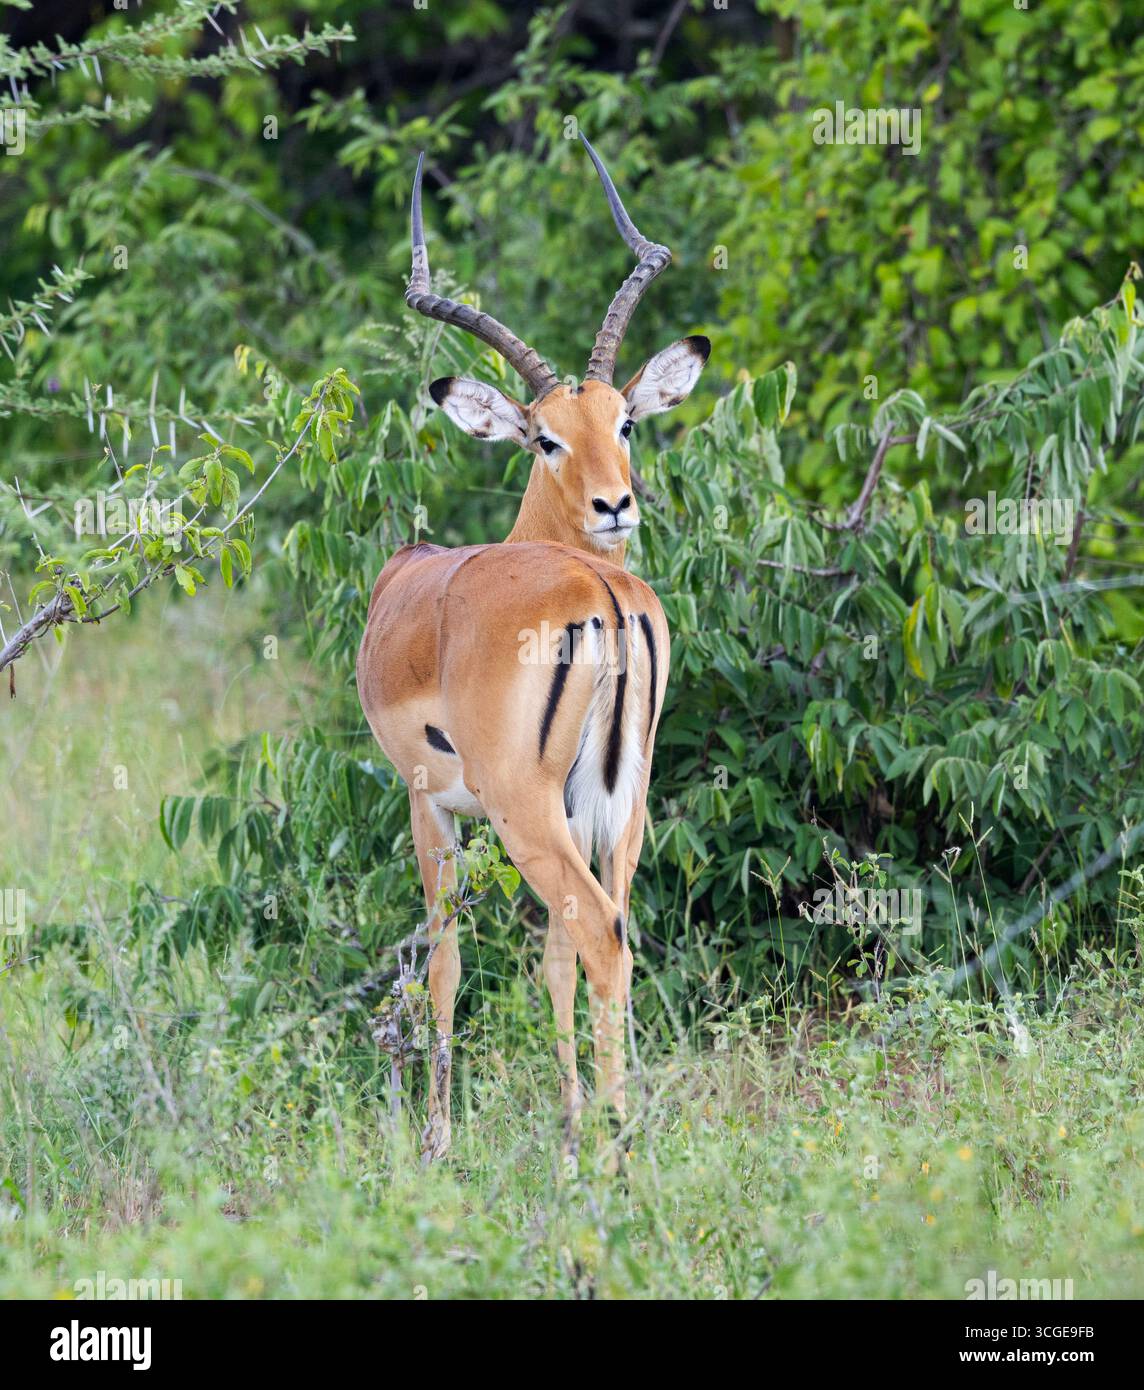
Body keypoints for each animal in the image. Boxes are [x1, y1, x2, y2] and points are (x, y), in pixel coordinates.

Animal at [357, 136, 709, 1161]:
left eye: (624, 422)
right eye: (549, 437)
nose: (616, 504)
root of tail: (601, 593)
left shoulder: (431, 806)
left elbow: (445, 960)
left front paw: (437, 1144)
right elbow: (546, 964)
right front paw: (566, 1122)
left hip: (524, 810)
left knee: (596, 933)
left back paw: (620, 1147)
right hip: (621, 807)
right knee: (607, 932)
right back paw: (605, 1133)